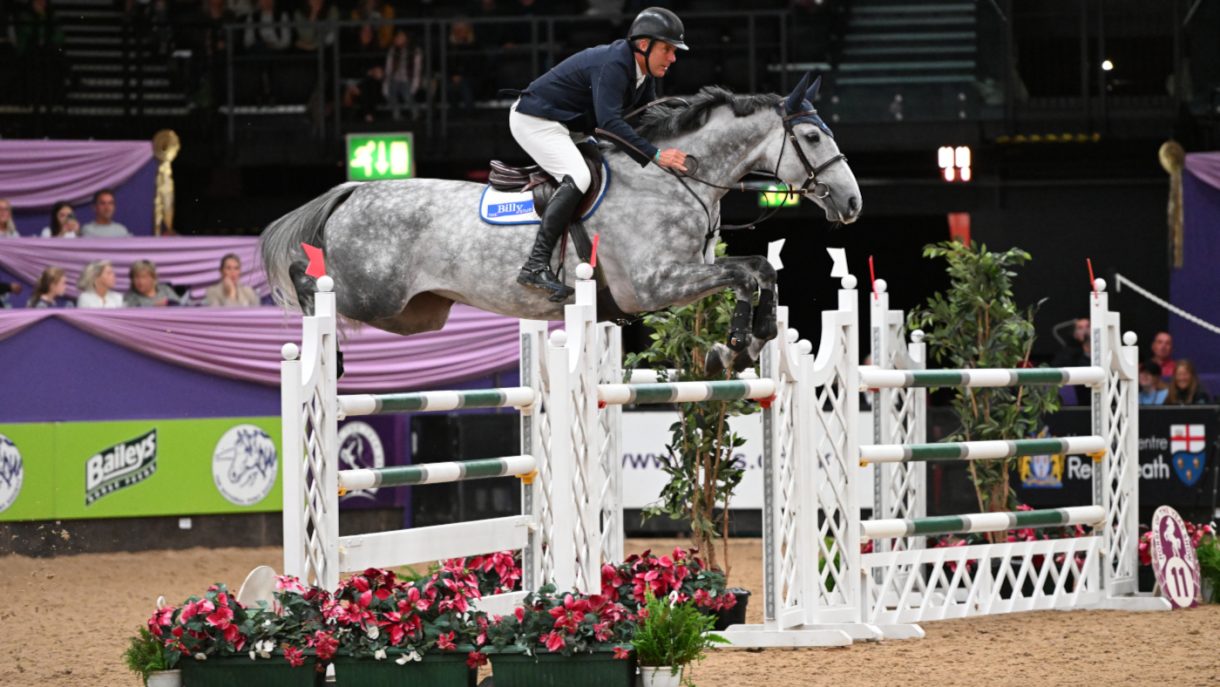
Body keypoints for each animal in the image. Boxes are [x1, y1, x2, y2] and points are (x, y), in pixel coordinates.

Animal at [260, 72, 860, 370]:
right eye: (812, 137)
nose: (852, 203)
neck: (675, 179)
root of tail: (354, 188)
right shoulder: (655, 284)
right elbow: (747, 273)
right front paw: (733, 344)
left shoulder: (683, 275)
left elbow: (760, 270)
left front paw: (742, 345)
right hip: (373, 293)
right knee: (310, 281)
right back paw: (323, 351)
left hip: (416, 314)